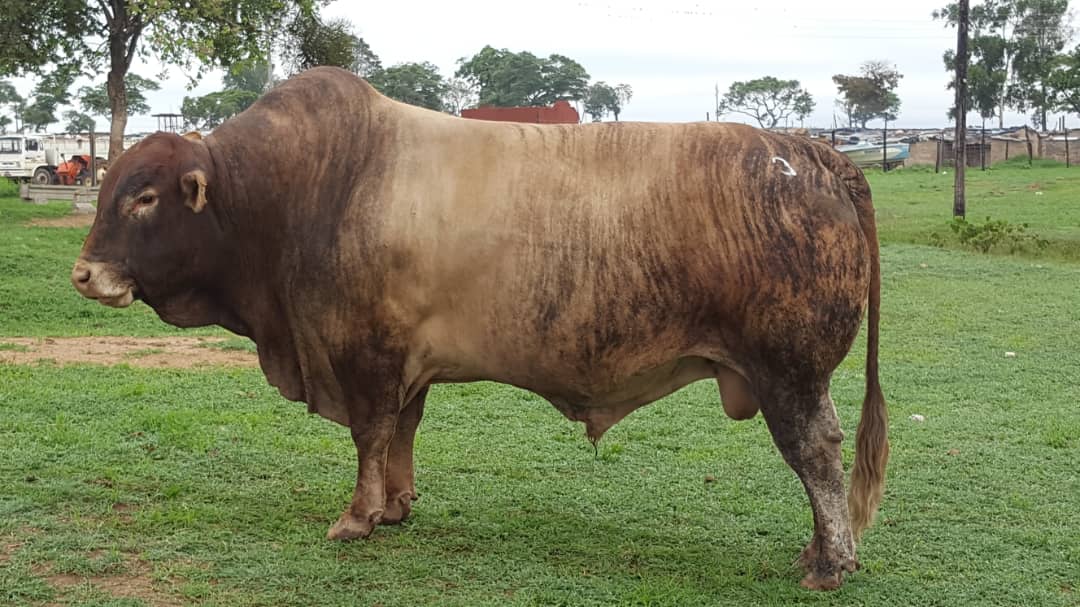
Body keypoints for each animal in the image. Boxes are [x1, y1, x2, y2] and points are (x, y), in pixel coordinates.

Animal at [71, 66, 888, 590]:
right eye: (109, 188)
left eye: (144, 197)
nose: (84, 273)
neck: (299, 191)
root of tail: (811, 152)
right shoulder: (408, 360)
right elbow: (401, 432)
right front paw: (395, 505)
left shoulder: (364, 356)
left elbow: (369, 434)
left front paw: (356, 517)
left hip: (789, 371)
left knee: (817, 454)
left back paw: (828, 562)